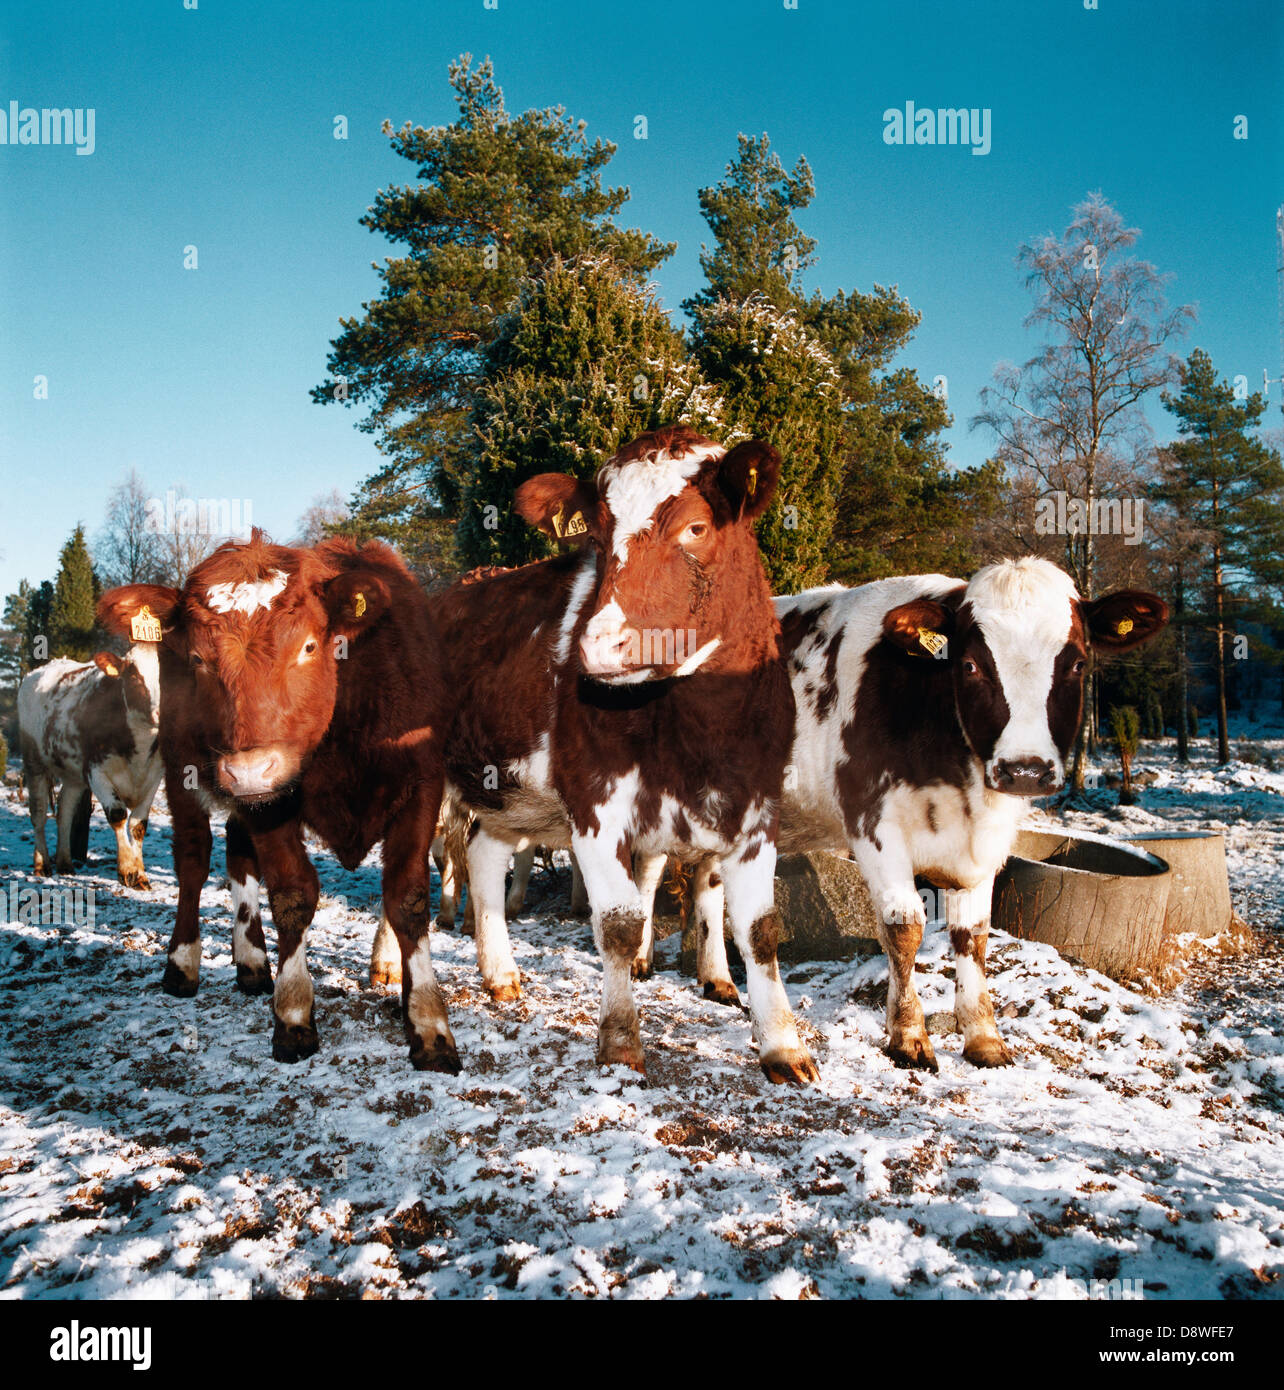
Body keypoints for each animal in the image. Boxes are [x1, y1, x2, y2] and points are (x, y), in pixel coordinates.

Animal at [18, 646, 163, 888]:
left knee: (65, 811)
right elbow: (118, 815)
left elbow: (138, 825)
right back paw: (42, 864)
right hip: (34, 762)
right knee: (38, 813)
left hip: (73, 775)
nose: (161, 714)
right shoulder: (96, 771)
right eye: (134, 676)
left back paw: (65, 863)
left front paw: (140, 874)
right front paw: (127, 870)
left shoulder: (154, 777)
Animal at [96, 533, 459, 1072]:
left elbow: (407, 896)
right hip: (183, 767)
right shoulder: (266, 804)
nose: (249, 769)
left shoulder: (422, 783)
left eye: (308, 646)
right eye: (199, 658)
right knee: (194, 858)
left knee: (237, 851)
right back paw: (183, 963)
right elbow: (292, 894)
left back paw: (251, 963)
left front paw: (429, 1024)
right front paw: (293, 1014)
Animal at [435, 425, 817, 1083]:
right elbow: (617, 924)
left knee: (483, 855)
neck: (698, 729)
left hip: (509, 793)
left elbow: (760, 930)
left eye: (696, 527)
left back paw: (500, 974)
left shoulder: (758, 808)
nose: (598, 644)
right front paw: (619, 1041)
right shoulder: (595, 801)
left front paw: (783, 1046)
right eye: (596, 534)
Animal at [685, 557, 1168, 1070]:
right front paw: (909, 1036)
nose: (1025, 770)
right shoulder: (874, 823)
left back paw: (717, 979)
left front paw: (984, 1037)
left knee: (706, 880)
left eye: (1077, 663)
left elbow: (973, 935)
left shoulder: (989, 837)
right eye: (971, 665)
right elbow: (905, 928)